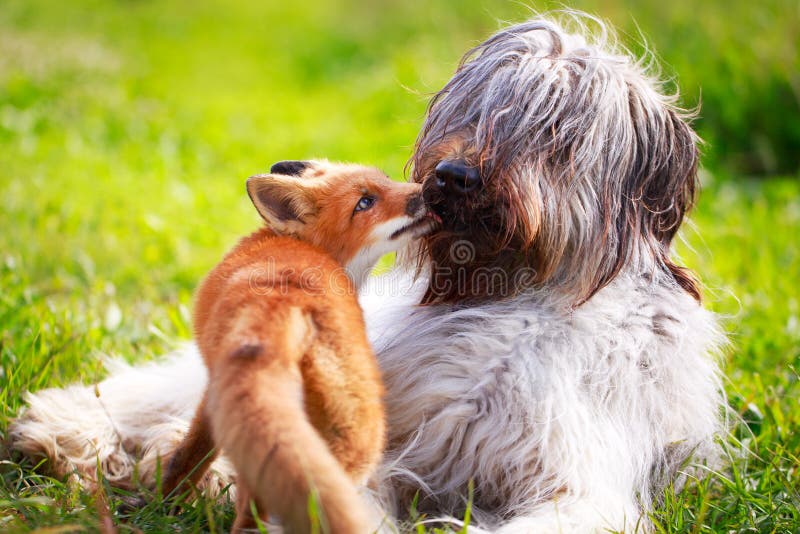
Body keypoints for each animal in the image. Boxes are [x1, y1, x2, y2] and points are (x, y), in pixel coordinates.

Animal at [160, 160, 435, 533]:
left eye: (387, 179)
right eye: (365, 203)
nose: (432, 188)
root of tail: (291, 306)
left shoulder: (214, 393)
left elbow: (191, 453)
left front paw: (165, 504)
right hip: (349, 445)